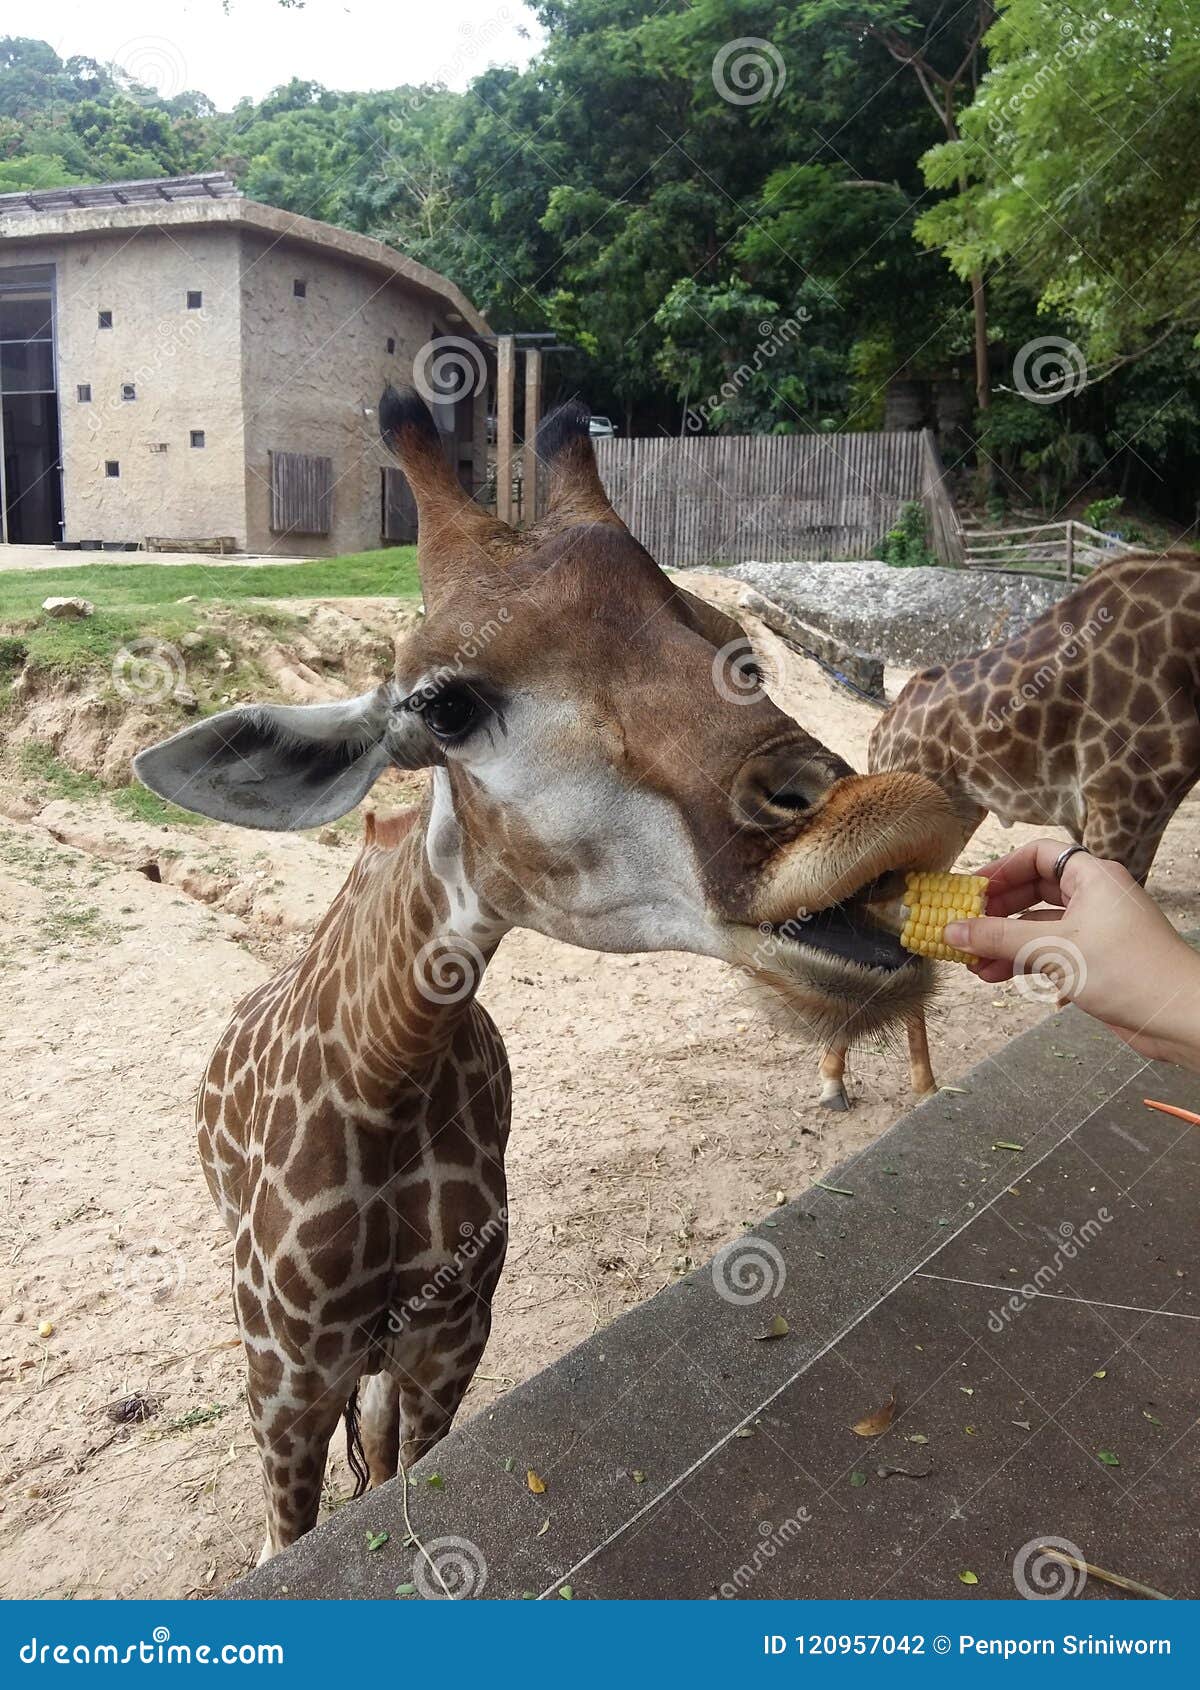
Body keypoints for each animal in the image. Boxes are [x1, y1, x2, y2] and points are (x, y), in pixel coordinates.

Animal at [134, 387, 964, 1561]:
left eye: (737, 651)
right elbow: (290, 1537)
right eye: (444, 705)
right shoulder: (281, 1375)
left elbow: (396, 1485)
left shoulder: (449, 1344)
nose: (884, 819)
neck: (386, 1071)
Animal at [815, 549, 1200, 1110]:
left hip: (955, 814)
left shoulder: (1146, 815)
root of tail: (881, 731)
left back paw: (883, 1080)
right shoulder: (1117, 803)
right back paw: (870, 1082)